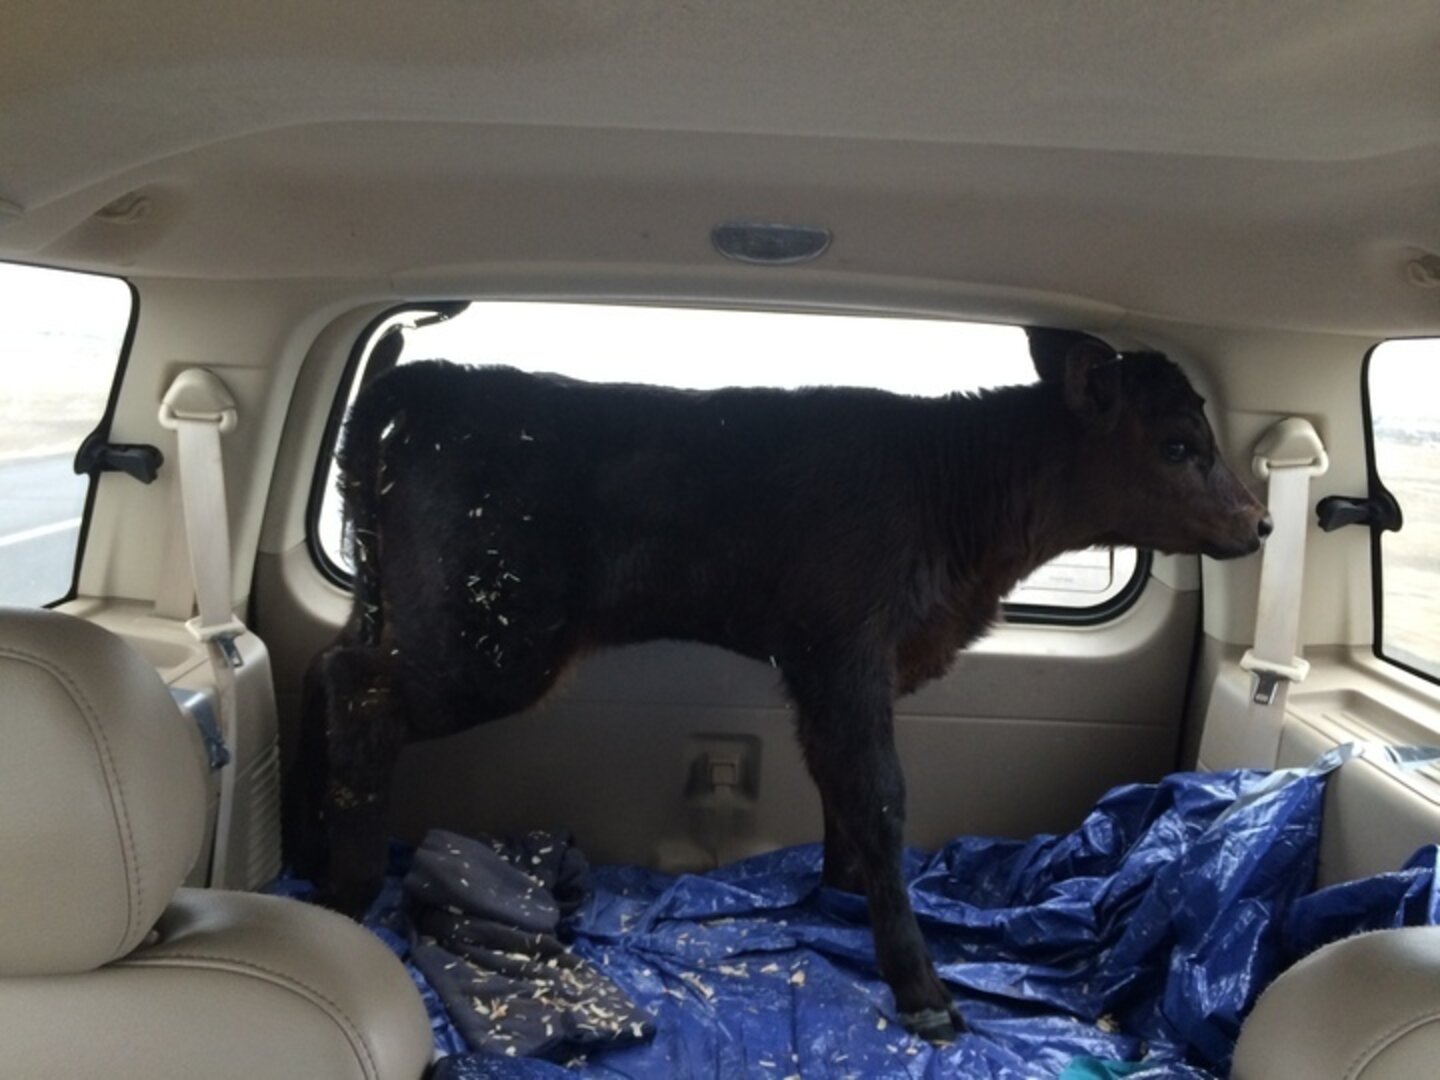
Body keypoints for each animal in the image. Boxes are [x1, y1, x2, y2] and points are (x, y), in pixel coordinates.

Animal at [289, 327, 1271, 1042]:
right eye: (1178, 445)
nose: (1260, 522)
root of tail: (442, 379)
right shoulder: (846, 651)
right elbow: (880, 793)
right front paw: (922, 988)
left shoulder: (827, 666)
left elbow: (839, 779)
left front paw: (840, 887)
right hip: (492, 637)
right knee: (359, 691)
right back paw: (346, 887)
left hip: (417, 613)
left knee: (328, 668)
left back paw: (313, 851)